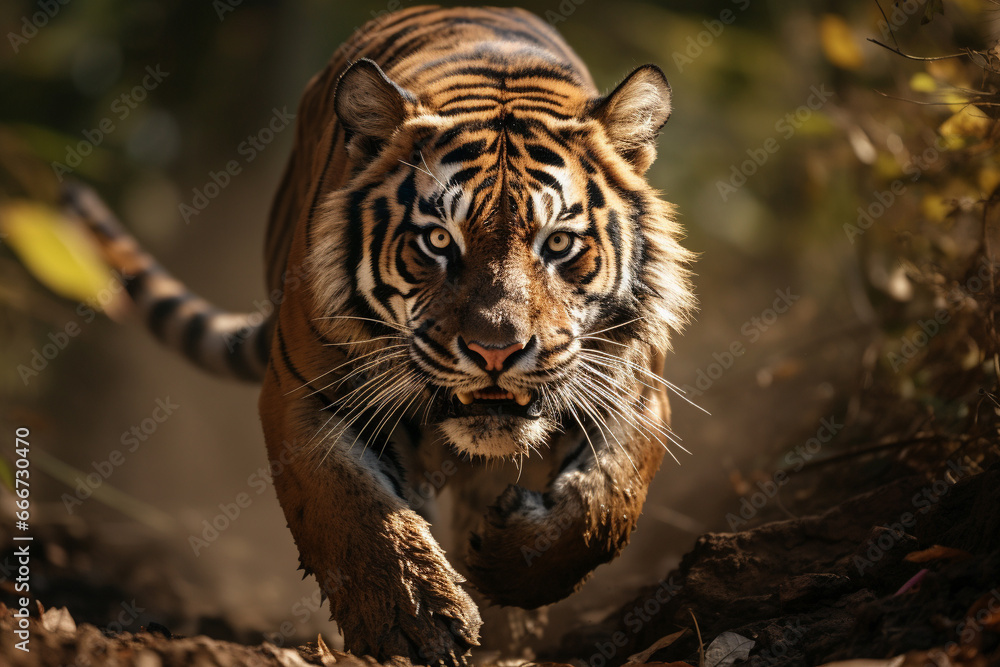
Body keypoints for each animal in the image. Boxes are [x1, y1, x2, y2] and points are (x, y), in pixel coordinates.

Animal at [63, 5, 695, 664]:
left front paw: (506, 563)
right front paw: (413, 624)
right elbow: (354, 509)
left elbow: (606, 502)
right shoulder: (306, 393)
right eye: (438, 240)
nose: (494, 351)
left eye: (559, 243)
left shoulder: (634, 392)